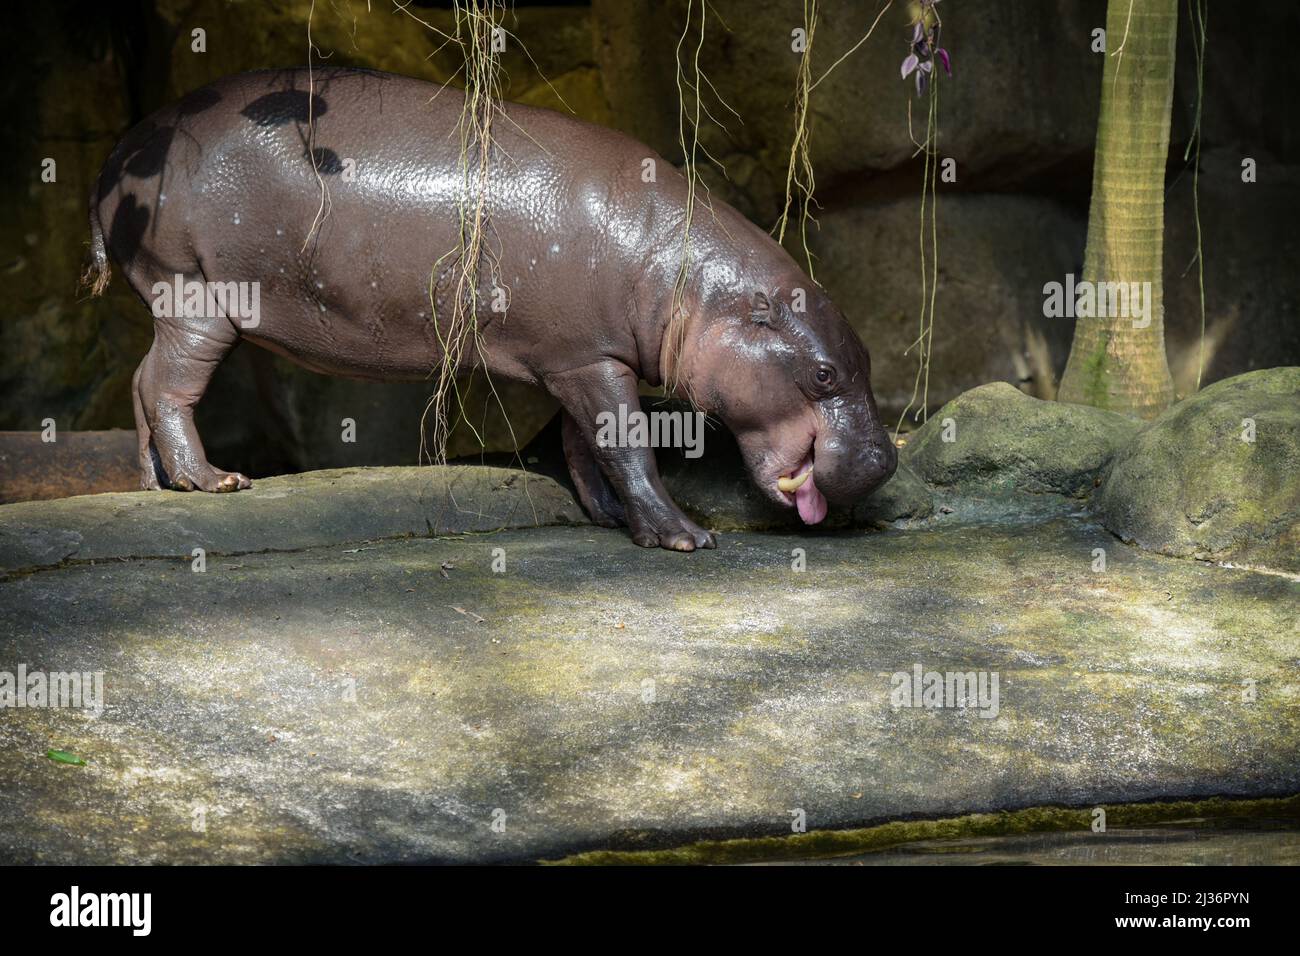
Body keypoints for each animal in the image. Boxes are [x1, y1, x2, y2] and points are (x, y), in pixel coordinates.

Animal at [85, 68, 897, 551]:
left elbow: (585, 445)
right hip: (198, 293)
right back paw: (213, 482)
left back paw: (154, 485)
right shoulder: (592, 360)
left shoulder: (576, 359)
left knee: (140, 383)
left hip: (176, 298)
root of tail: (119, 154)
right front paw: (686, 538)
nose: (886, 460)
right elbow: (628, 443)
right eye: (824, 375)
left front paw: (607, 518)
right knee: (169, 388)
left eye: (863, 359)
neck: (689, 281)